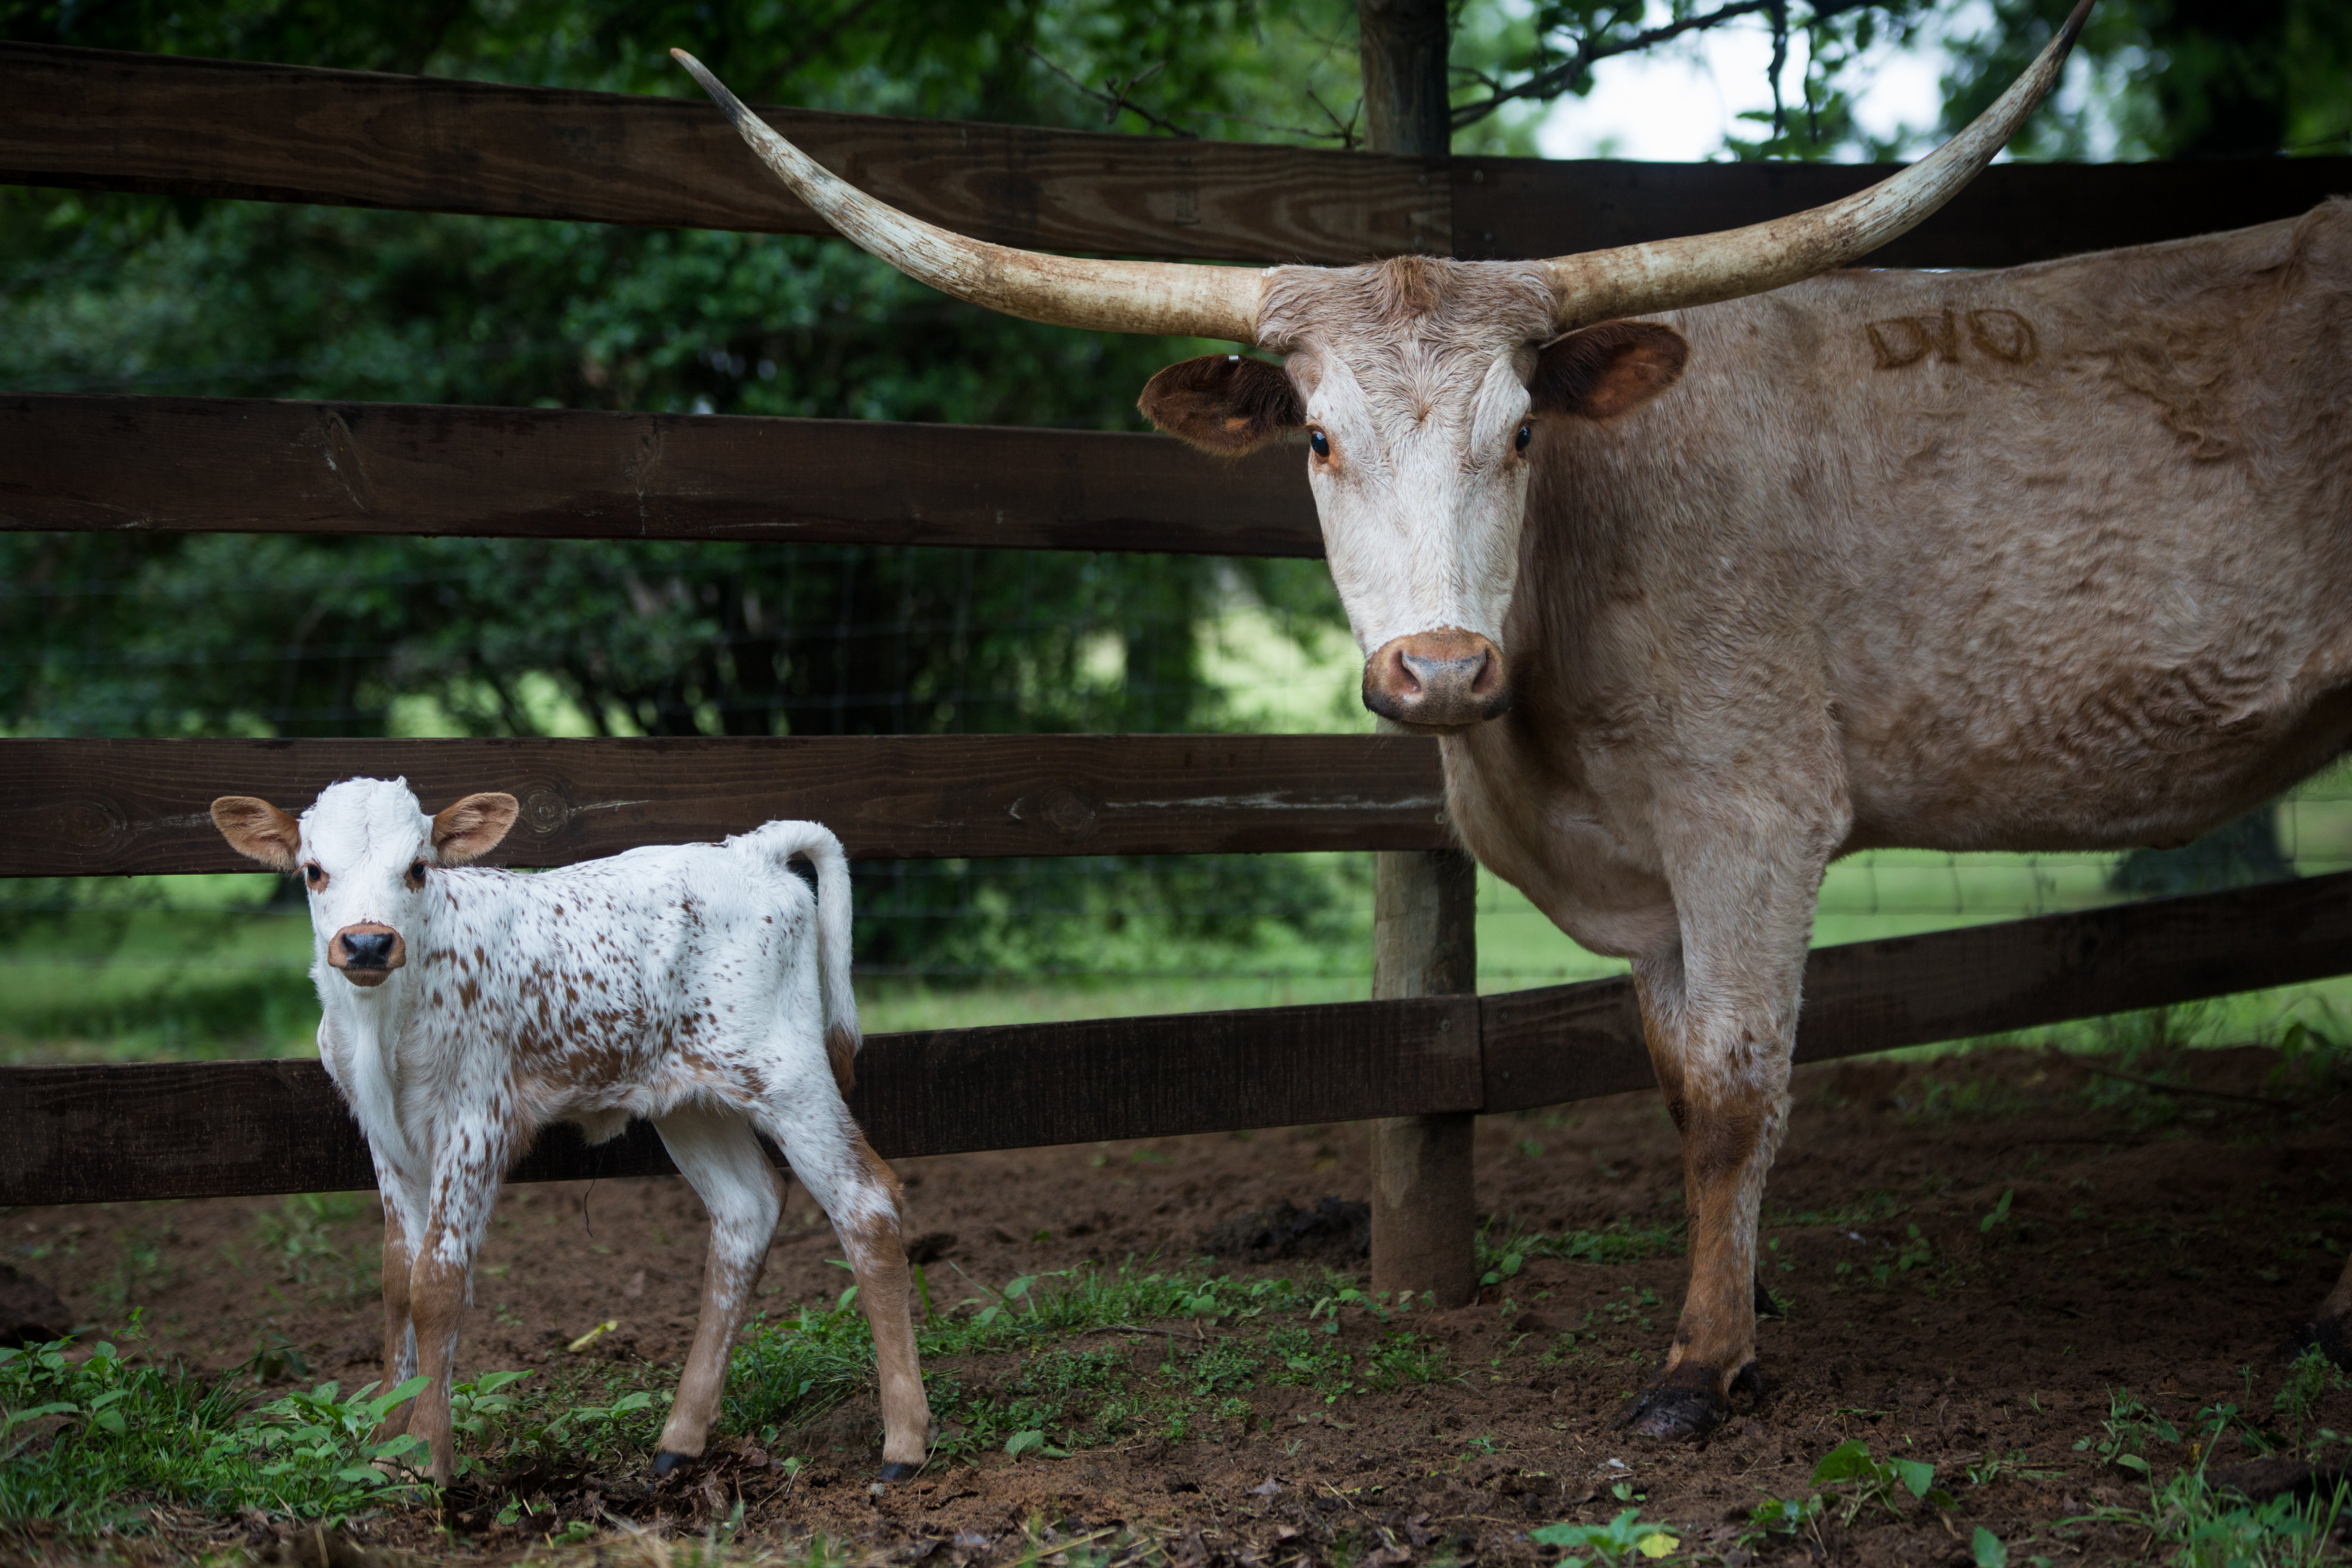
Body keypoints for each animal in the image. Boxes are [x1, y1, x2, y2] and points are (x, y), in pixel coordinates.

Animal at [209, 779, 929, 1484]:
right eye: (313, 871)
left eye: (417, 868)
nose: (366, 943)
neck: (382, 1021)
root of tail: (749, 849)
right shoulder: (384, 1137)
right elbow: (396, 1282)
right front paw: (387, 1446)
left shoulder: (478, 1120)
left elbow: (437, 1284)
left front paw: (427, 1459)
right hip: (689, 1100)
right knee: (745, 1209)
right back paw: (680, 1439)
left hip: (786, 1071)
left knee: (866, 1203)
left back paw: (904, 1441)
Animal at [669, 0, 2352, 1439]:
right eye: (1319, 437)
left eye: (1524, 427)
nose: (1435, 670)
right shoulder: (1651, 880)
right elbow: (1677, 1082)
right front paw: (1742, 1308)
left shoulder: (1750, 821)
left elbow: (1735, 1090)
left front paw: (1697, 1365)